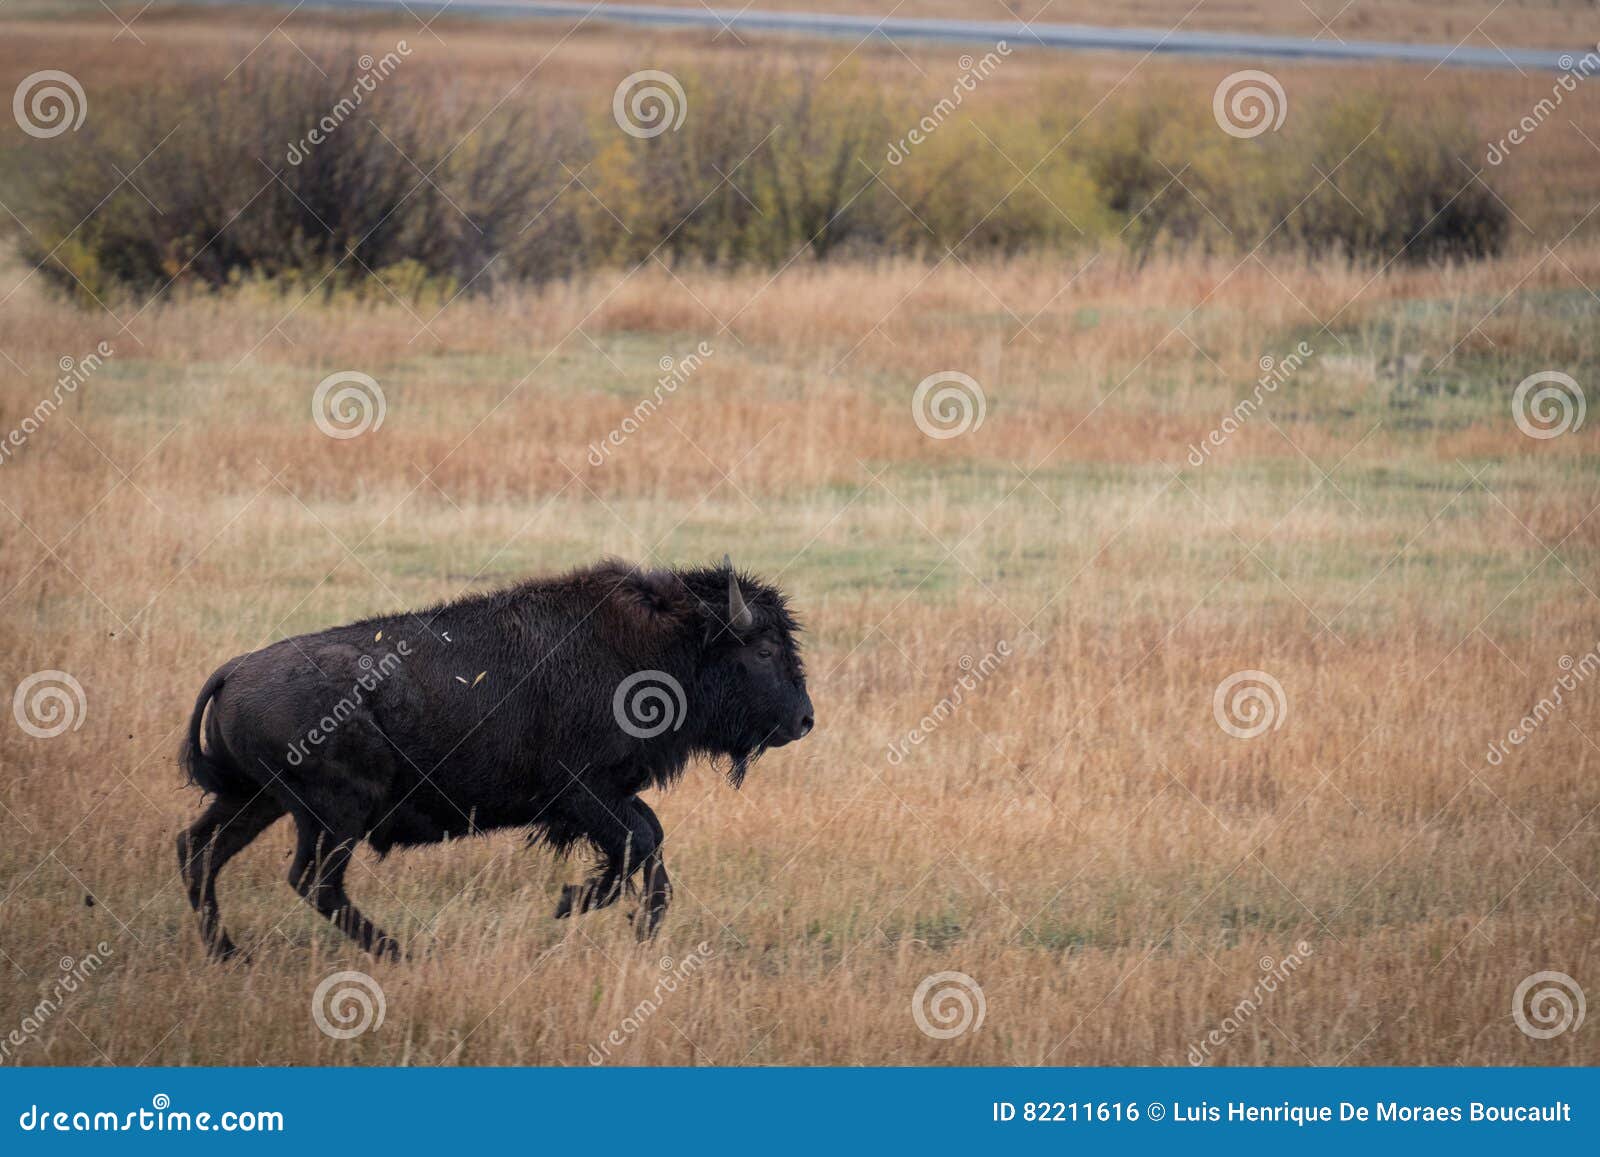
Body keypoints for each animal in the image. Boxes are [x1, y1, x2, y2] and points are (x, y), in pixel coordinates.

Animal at [177, 557, 812, 959]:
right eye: (763, 649)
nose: (805, 720)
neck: (656, 647)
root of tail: (234, 670)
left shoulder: (609, 796)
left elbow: (649, 840)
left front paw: (628, 921)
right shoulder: (583, 794)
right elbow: (640, 841)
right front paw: (570, 904)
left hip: (258, 801)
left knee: (200, 850)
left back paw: (231, 955)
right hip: (333, 816)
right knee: (312, 881)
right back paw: (401, 953)